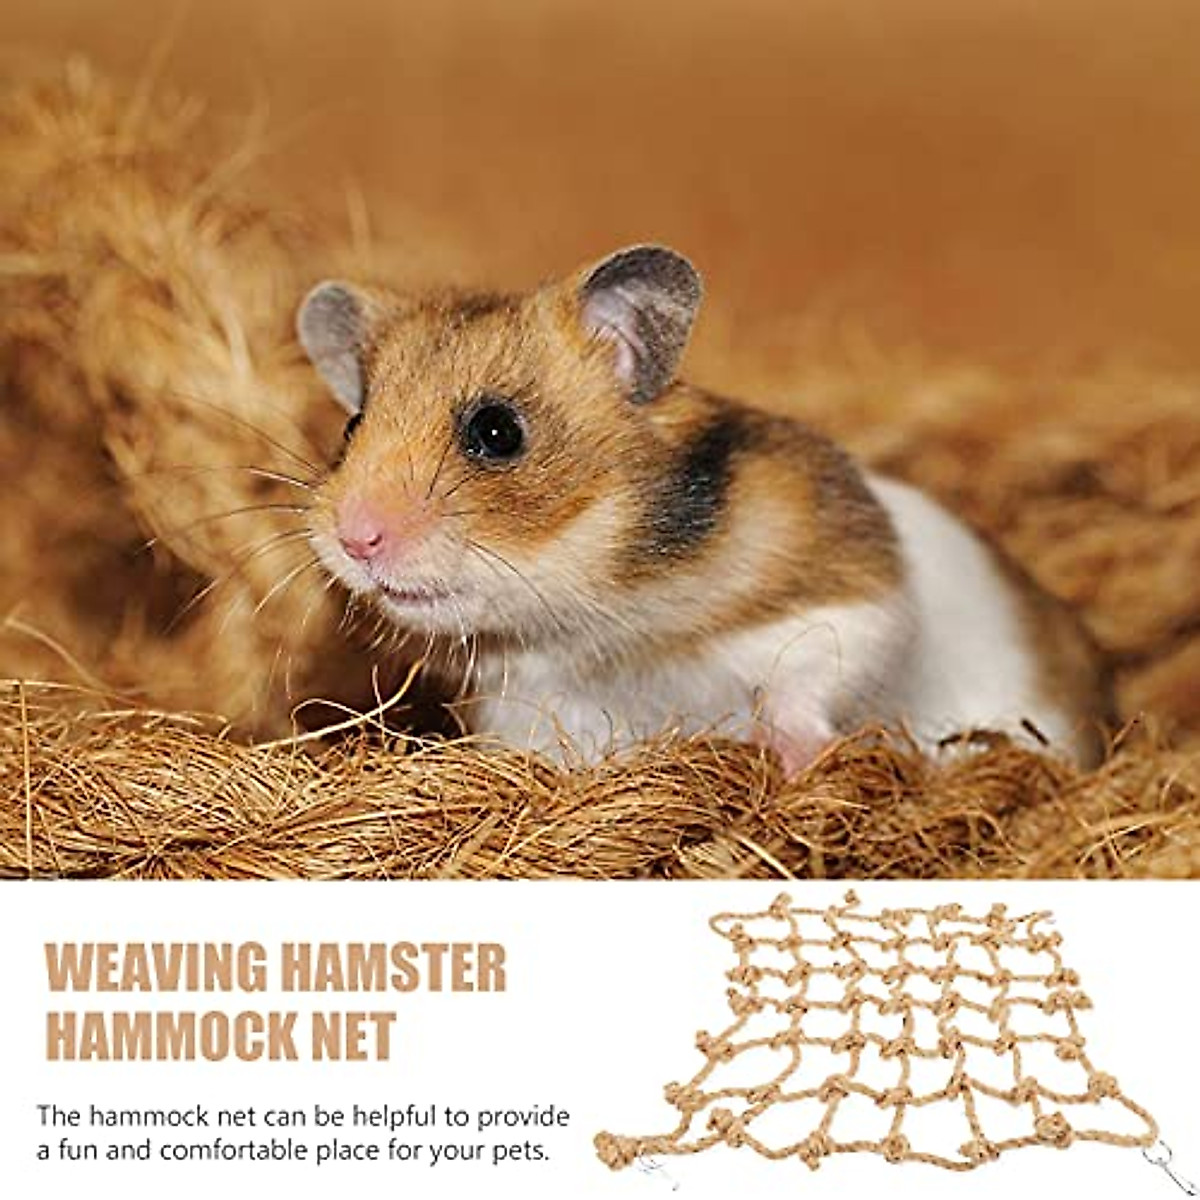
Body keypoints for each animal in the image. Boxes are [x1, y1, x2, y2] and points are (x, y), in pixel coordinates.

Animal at [296, 245, 1111, 771]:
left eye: (497, 432)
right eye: (352, 426)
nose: (354, 539)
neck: (593, 618)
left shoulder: (851, 586)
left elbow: (812, 672)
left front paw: (796, 763)